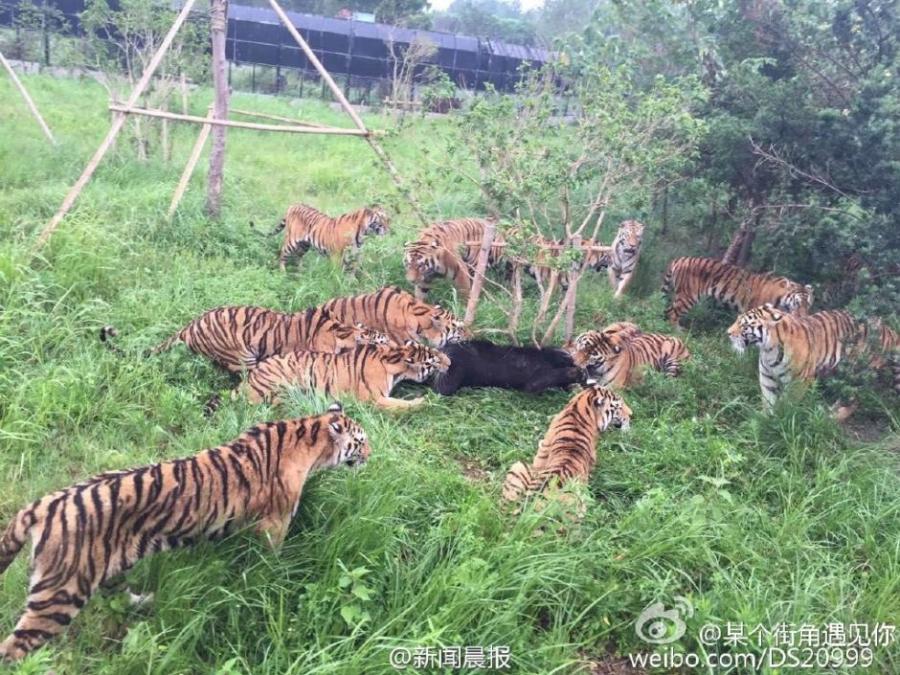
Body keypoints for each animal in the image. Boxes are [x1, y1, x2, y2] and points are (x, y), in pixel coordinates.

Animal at [0, 403, 369, 661]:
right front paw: (274, 578)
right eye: (361, 440)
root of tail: (42, 505)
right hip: (59, 594)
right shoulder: (274, 524)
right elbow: (270, 562)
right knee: (14, 647)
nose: (371, 453)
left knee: (118, 594)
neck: (307, 434)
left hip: (107, 567)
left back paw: (146, 601)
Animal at [241, 342, 451, 409]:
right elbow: (401, 405)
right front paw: (425, 401)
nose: (450, 362)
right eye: (433, 361)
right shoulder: (374, 399)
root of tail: (249, 379)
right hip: (283, 389)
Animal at [663, 256, 814, 327]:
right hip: (688, 296)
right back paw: (677, 331)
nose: (803, 317)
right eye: (797, 303)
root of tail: (681, 259)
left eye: (808, 304)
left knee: (668, 310)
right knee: (673, 313)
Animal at [727, 304, 899, 410]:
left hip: (859, 372)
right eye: (737, 319)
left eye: (744, 325)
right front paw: (766, 420)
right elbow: (768, 401)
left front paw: (779, 419)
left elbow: (786, 403)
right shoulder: (767, 377)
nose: (728, 333)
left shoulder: (800, 380)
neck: (768, 349)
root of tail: (887, 330)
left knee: (852, 397)